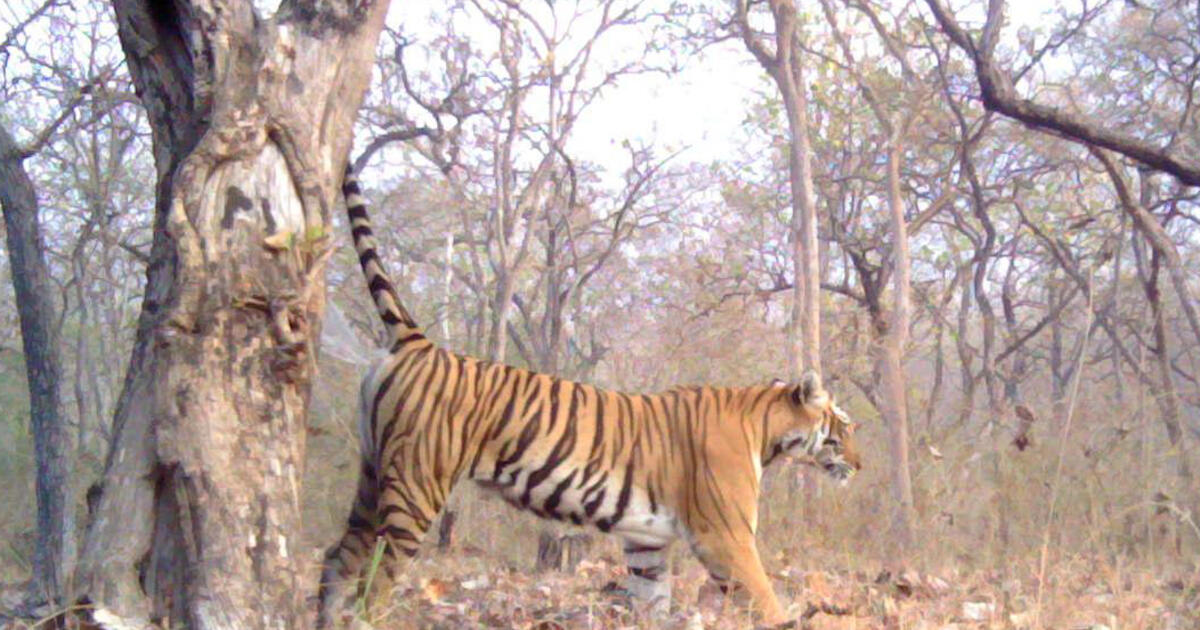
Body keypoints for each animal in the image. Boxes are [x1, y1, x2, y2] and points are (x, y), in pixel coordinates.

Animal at [316, 166, 862, 628]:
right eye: (846, 426)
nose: (860, 465)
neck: (765, 428)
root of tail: (419, 342)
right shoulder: (725, 536)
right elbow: (767, 601)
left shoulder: (646, 543)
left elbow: (653, 605)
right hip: (416, 487)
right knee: (372, 584)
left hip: (372, 475)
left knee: (336, 560)